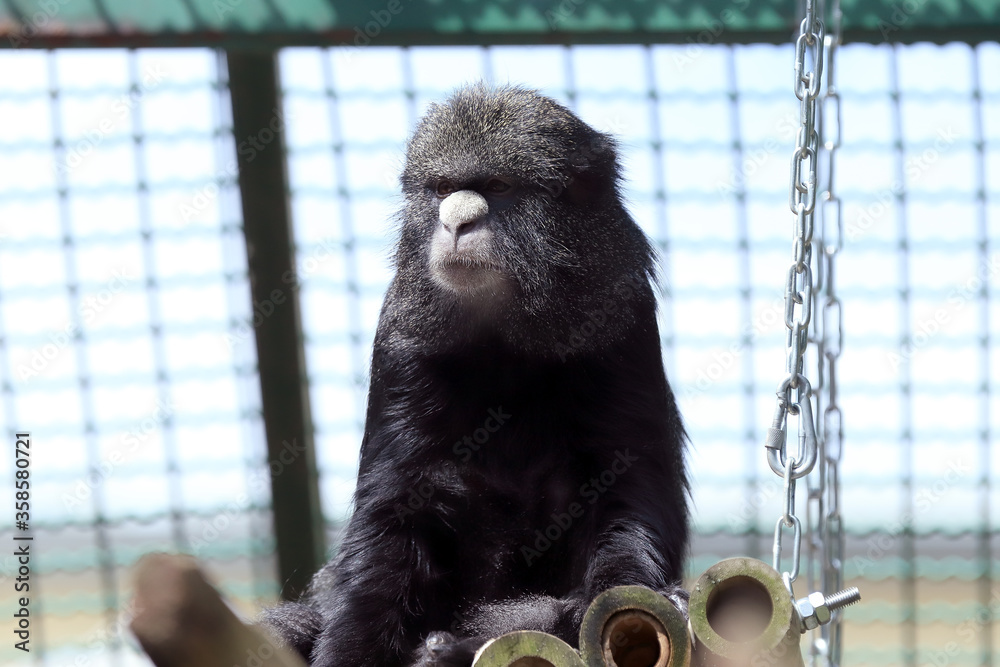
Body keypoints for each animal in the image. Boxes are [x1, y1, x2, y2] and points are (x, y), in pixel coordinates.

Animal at [259, 83, 689, 667]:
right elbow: (391, 513)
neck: (505, 337)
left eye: (498, 187)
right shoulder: (401, 336)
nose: (456, 221)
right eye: (443, 188)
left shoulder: (623, 319)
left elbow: (629, 491)